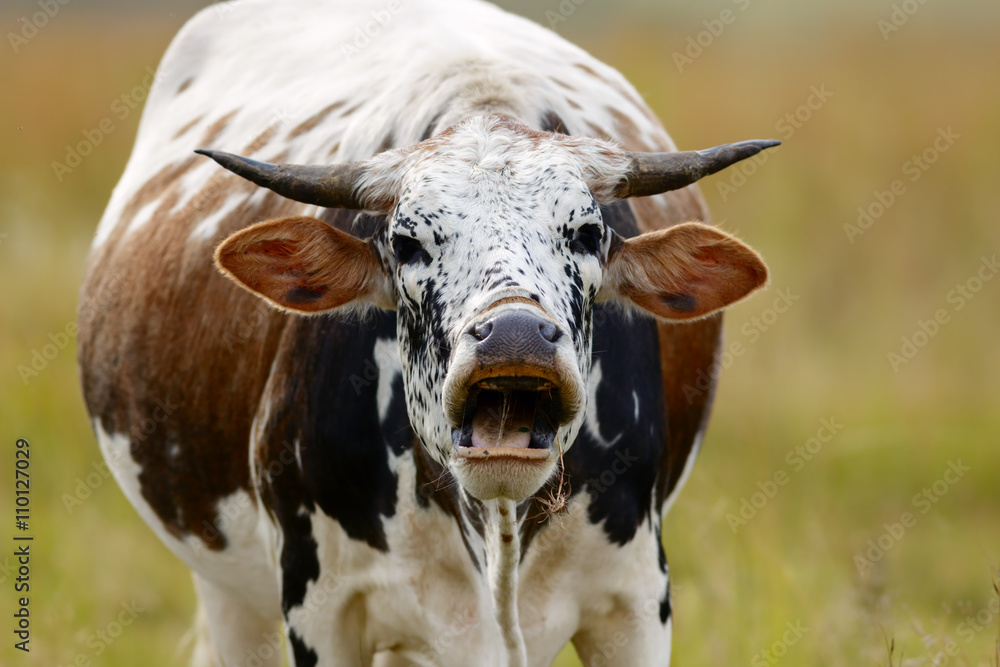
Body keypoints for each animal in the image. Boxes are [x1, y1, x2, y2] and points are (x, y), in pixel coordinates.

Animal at [77, 1, 777, 665]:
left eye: (586, 233)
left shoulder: (635, 600)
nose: (514, 335)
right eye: (407, 243)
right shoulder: (318, 608)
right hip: (226, 591)